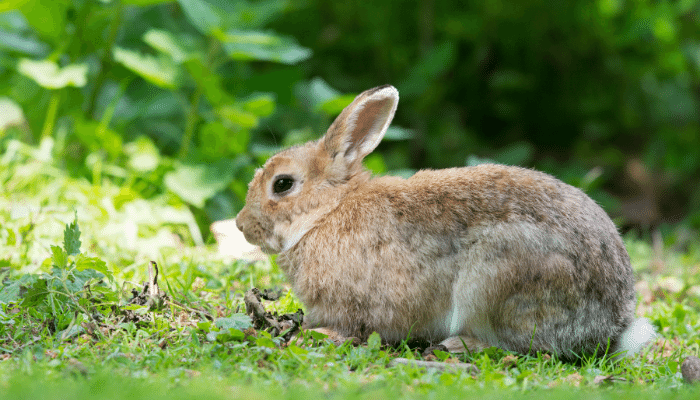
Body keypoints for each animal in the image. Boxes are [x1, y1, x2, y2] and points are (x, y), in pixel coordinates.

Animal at [235, 85, 656, 360]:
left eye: (282, 184)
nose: (241, 225)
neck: (326, 211)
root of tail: (611, 324)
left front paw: (315, 334)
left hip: (497, 281)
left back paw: (459, 345)